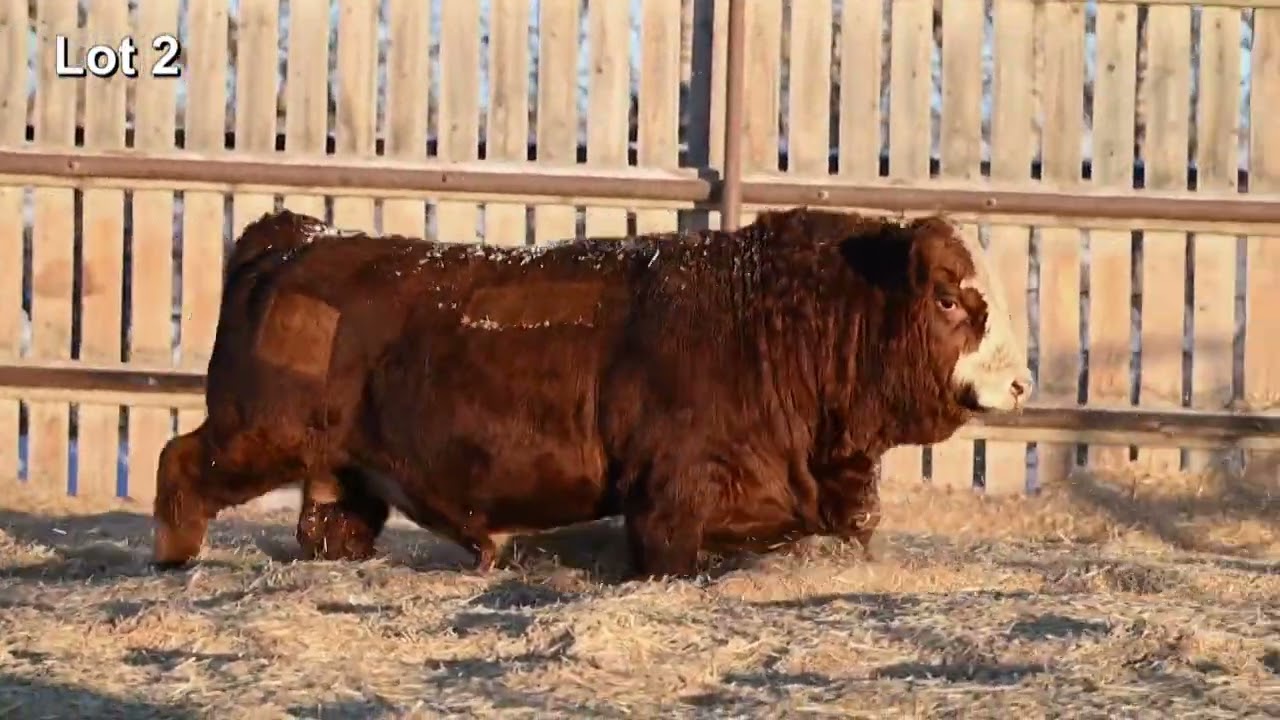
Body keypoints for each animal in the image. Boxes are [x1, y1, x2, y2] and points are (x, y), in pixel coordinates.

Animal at [152, 206, 1033, 579]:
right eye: (949, 298)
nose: (1023, 380)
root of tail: (297, 234)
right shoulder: (669, 499)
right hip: (253, 436)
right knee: (178, 462)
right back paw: (174, 556)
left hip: (343, 478)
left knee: (326, 528)